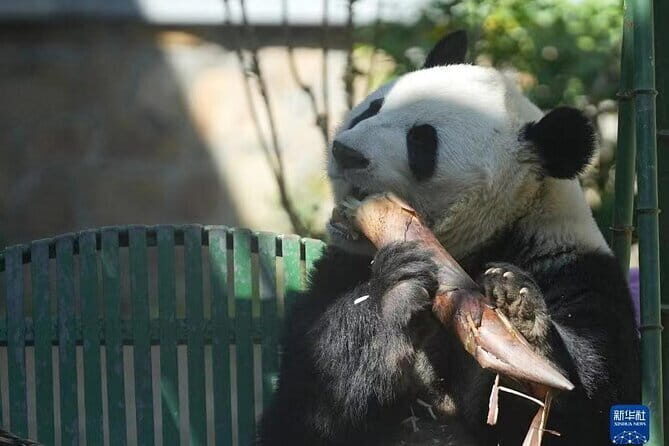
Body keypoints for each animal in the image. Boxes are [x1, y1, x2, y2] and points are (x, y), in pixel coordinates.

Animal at [258, 31, 639, 446]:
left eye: (422, 142)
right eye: (372, 108)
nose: (345, 152)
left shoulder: (574, 269)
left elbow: (590, 399)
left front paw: (516, 310)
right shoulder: (338, 271)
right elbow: (305, 404)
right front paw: (395, 290)